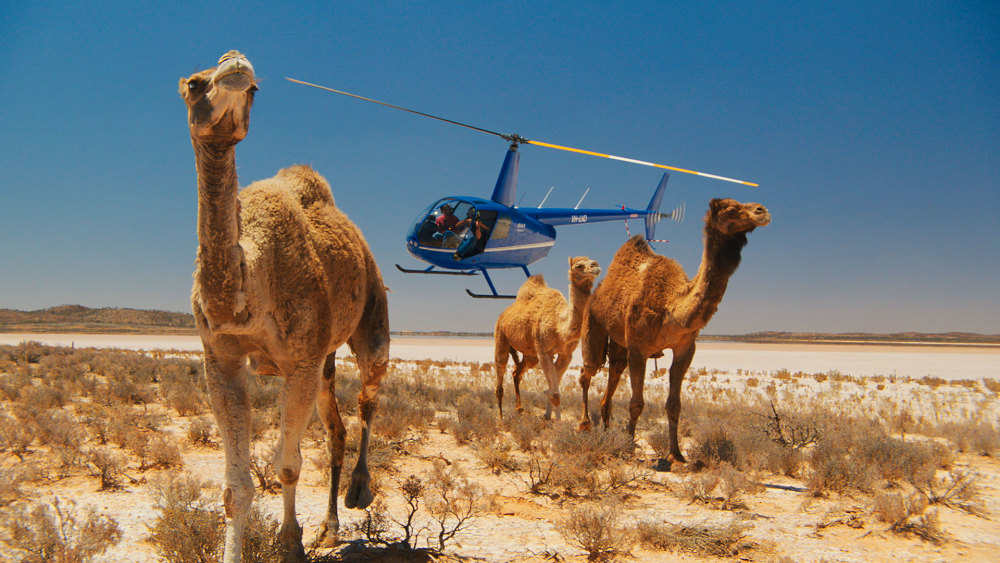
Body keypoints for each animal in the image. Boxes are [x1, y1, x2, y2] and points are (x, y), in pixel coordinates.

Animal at [180, 51, 389, 563]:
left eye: (254, 90)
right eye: (193, 84)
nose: (235, 63)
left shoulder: (300, 360)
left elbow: (288, 466)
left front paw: (289, 542)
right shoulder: (221, 357)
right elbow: (236, 489)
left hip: (370, 311)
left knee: (369, 393)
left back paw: (359, 490)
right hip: (324, 360)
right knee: (336, 430)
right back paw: (329, 528)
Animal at [494, 257, 601, 420]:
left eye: (591, 261)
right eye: (579, 266)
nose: (596, 266)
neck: (560, 328)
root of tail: (503, 315)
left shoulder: (566, 354)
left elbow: (552, 390)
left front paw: (547, 416)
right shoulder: (544, 353)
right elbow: (555, 394)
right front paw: (558, 424)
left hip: (531, 354)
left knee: (516, 373)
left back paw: (519, 409)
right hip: (501, 337)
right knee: (500, 371)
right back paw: (500, 417)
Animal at [578, 198, 770, 466]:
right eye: (731, 209)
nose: (762, 211)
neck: (672, 308)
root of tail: (598, 290)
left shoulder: (685, 349)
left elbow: (674, 405)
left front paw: (677, 454)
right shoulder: (638, 349)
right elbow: (636, 403)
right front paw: (629, 445)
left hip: (618, 343)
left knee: (613, 373)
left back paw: (606, 429)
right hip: (593, 324)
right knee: (588, 372)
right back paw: (585, 425)